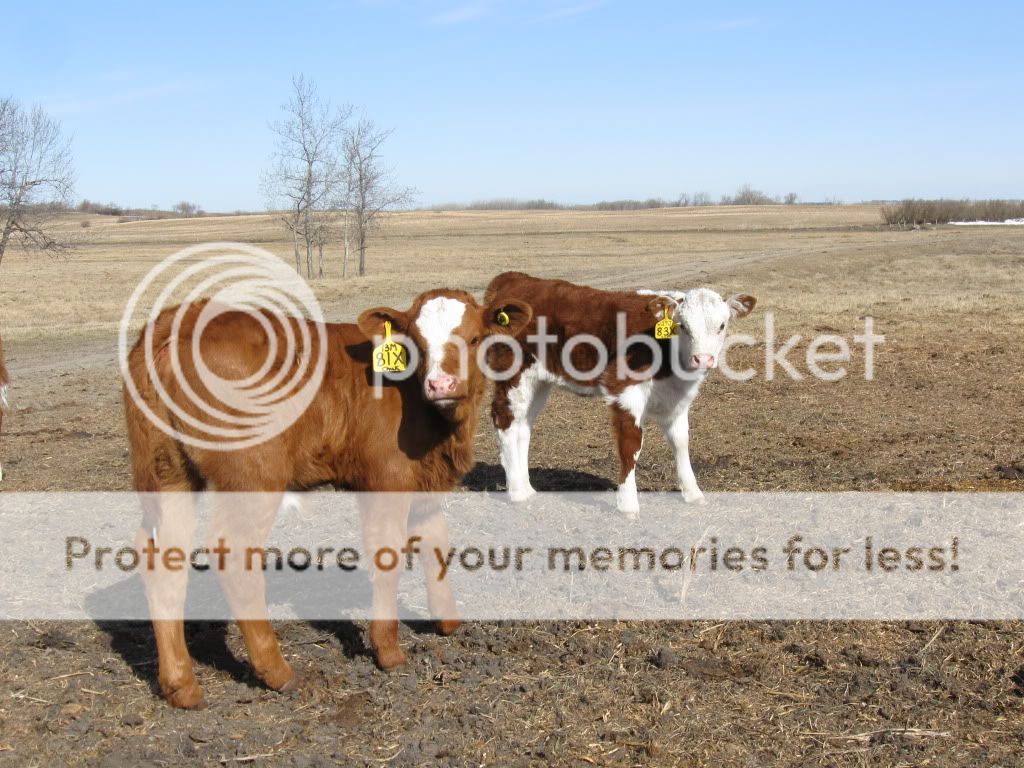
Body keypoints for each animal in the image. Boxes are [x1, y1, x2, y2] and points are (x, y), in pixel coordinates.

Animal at [123, 289, 532, 708]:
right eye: (416, 344)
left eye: (475, 338)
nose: (442, 384)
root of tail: (179, 321)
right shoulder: (385, 479)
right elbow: (388, 556)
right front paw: (388, 650)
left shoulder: (423, 482)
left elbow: (435, 542)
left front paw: (447, 620)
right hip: (253, 475)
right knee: (232, 553)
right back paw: (277, 671)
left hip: (167, 475)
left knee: (162, 561)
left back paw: (181, 685)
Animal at [484, 272, 756, 517]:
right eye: (683, 326)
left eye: (721, 326)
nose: (703, 359)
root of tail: (512, 278)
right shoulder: (624, 391)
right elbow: (631, 445)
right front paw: (628, 505)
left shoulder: (676, 399)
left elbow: (681, 441)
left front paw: (693, 493)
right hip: (514, 375)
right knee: (506, 422)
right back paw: (517, 493)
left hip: (539, 382)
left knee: (523, 425)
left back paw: (526, 488)